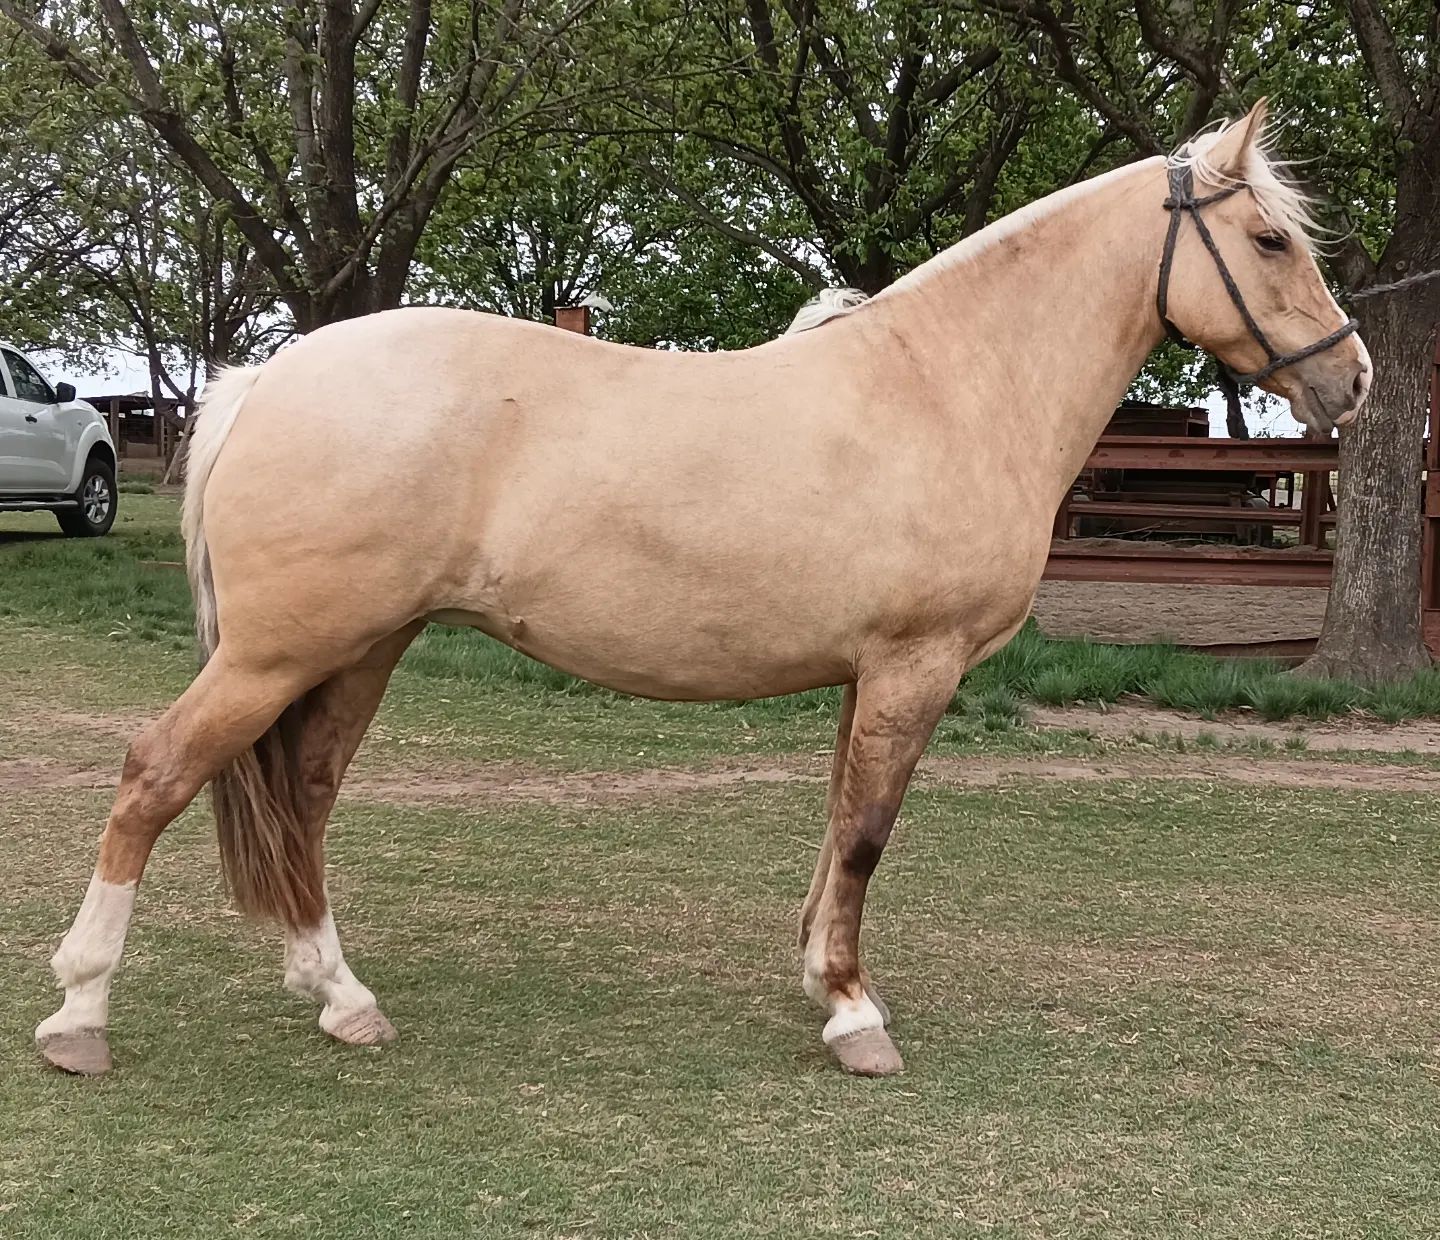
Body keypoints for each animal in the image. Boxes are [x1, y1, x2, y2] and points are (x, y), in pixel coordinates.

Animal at [36, 100, 1370, 1078]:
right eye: (1270, 241)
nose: (1351, 380)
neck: (944, 385)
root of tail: (271, 374)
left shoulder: (868, 675)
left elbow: (838, 823)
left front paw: (823, 979)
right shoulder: (914, 665)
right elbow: (870, 834)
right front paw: (855, 1017)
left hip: (359, 646)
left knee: (304, 797)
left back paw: (340, 996)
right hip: (279, 651)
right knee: (155, 775)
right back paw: (81, 1014)